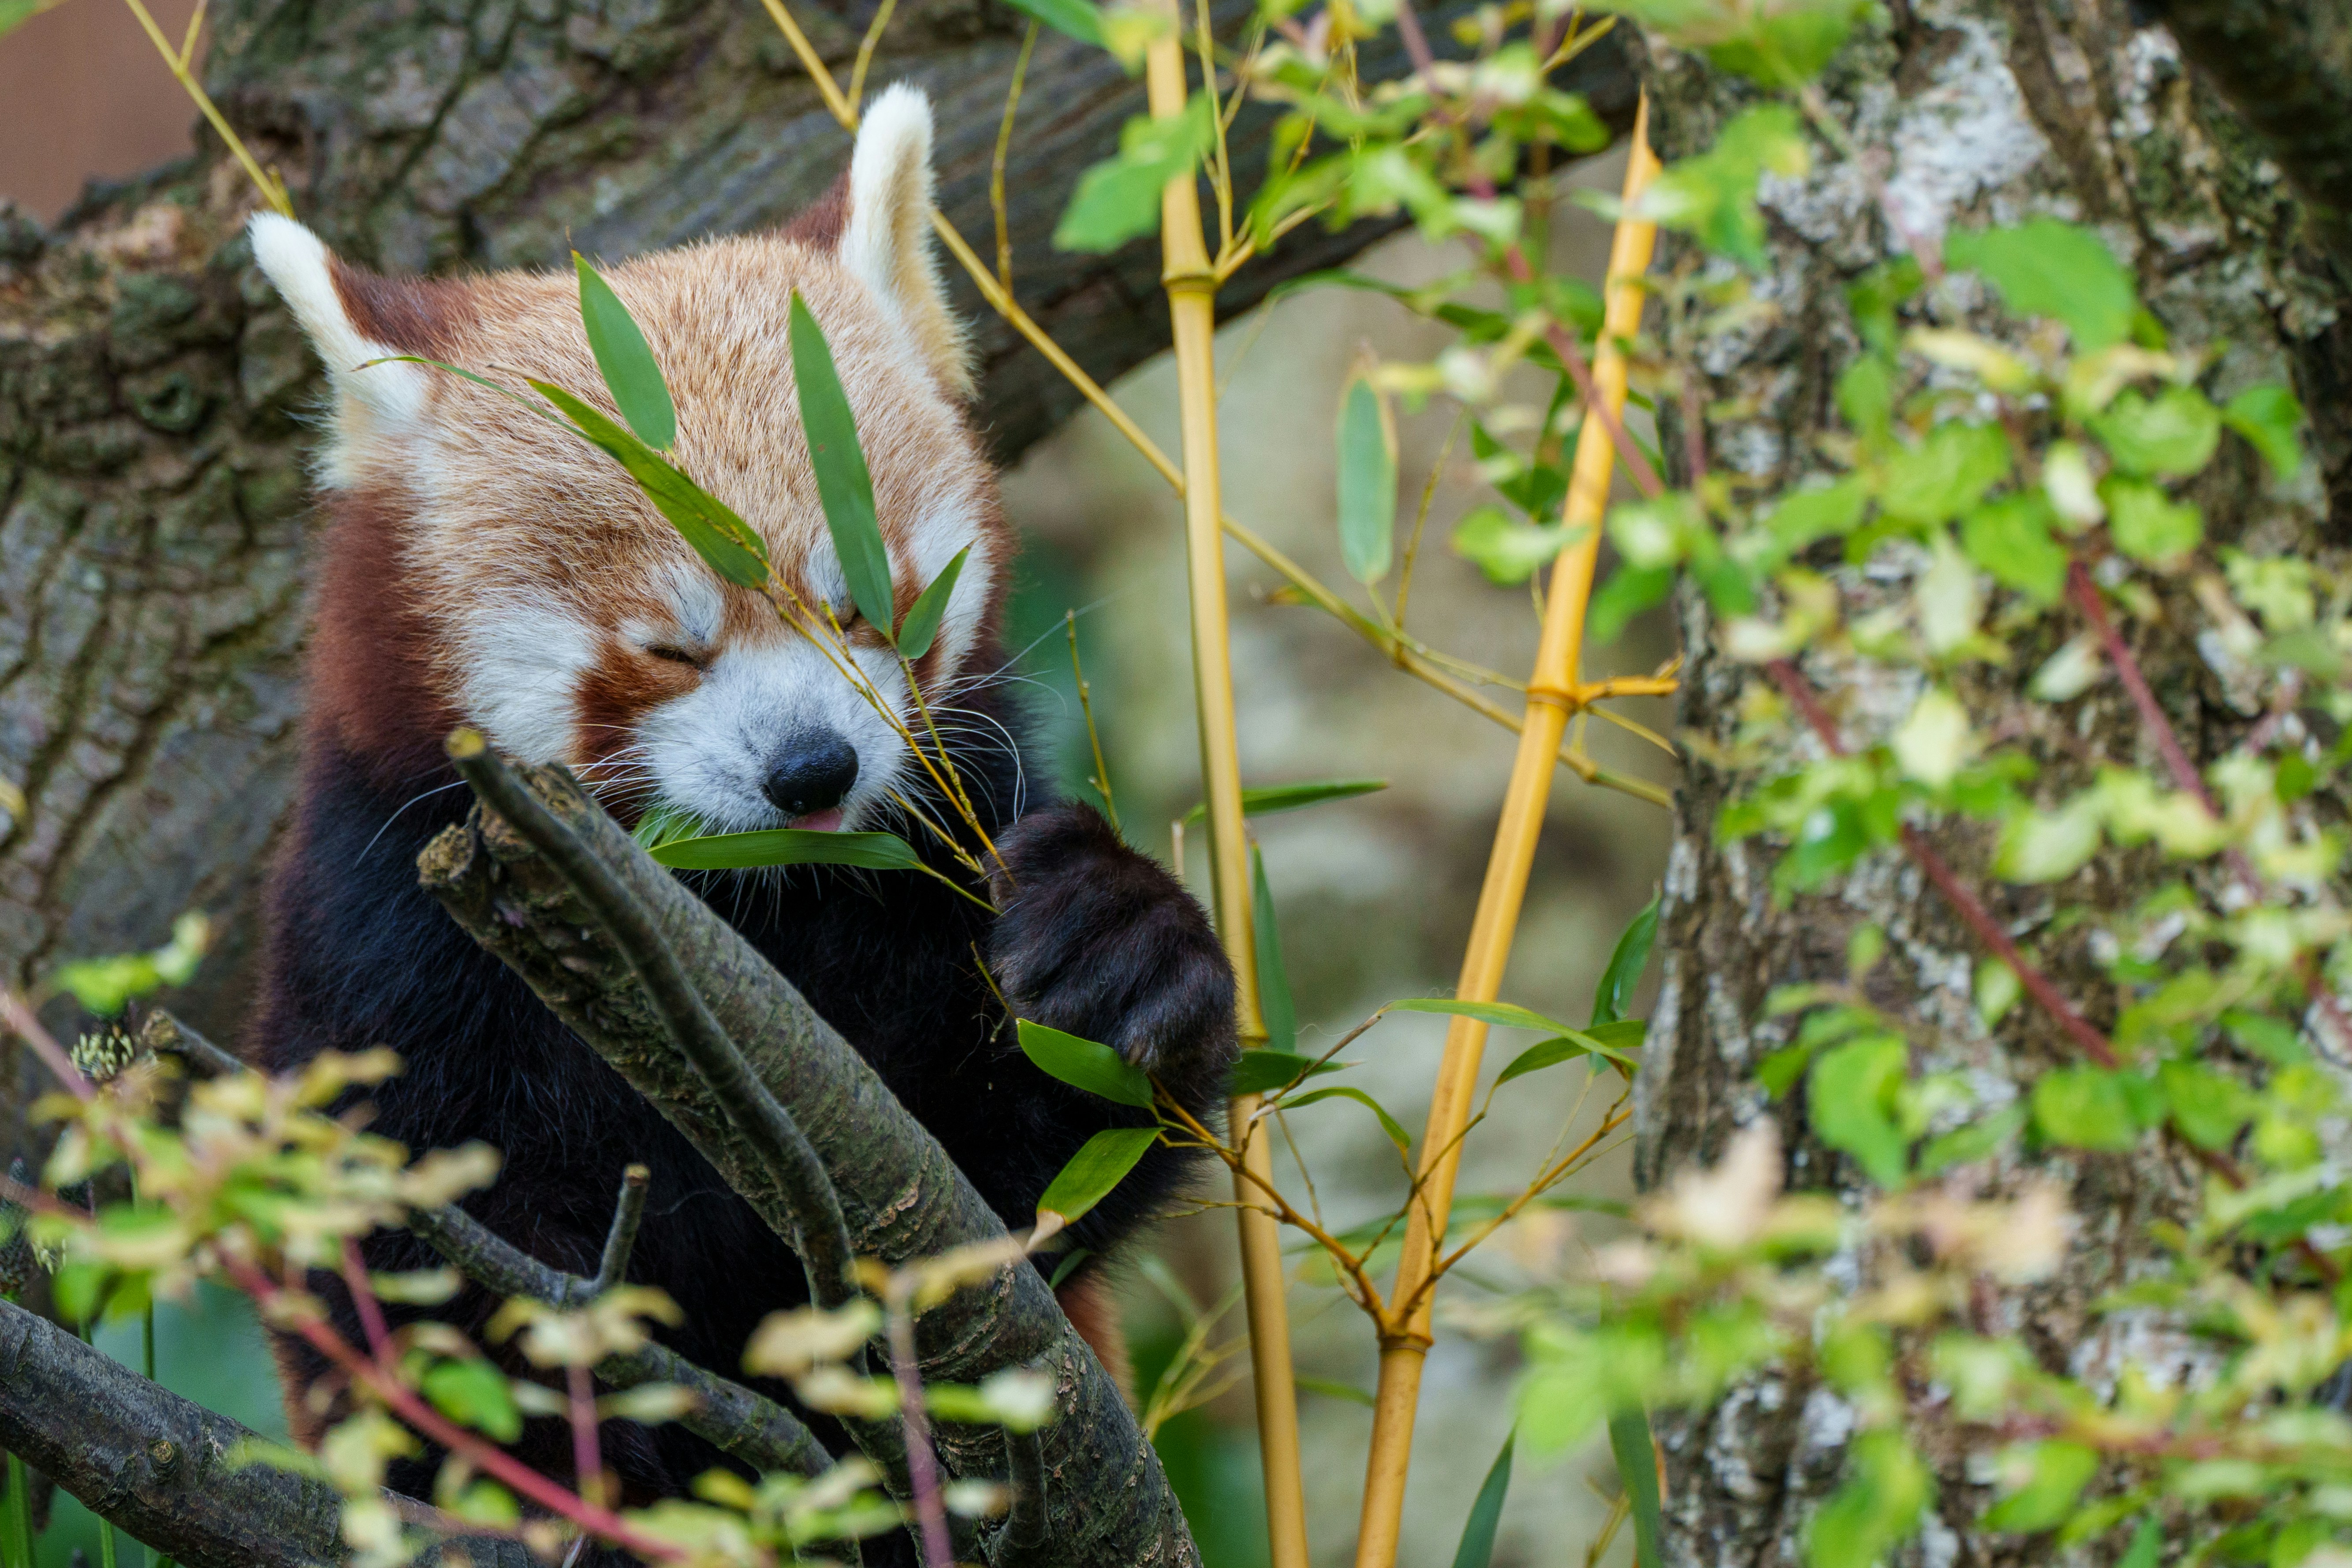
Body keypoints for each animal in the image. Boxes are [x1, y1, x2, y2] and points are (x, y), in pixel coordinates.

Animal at [243, 80, 1236, 1547]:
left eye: (860, 601)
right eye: (669, 646)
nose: (810, 770)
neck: (746, 910)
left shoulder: (937, 861)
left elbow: (1012, 1216)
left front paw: (1116, 952)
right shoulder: (382, 941)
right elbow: (422, 1283)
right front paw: (580, 1488)